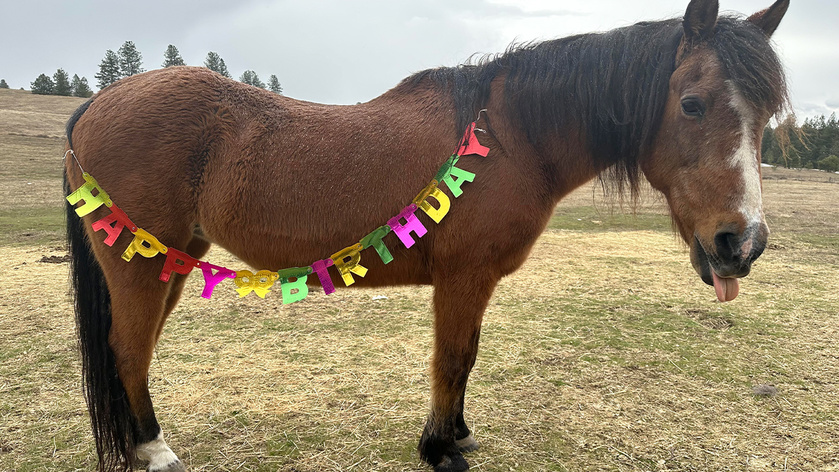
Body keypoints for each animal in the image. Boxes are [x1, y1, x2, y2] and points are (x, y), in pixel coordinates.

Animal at [63, 0, 790, 470]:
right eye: (691, 103)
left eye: (765, 117)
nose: (741, 243)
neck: (510, 136)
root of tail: (99, 102)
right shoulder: (463, 277)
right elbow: (452, 359)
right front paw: (440, 448)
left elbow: (464, 360)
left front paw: (457, 435)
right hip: (137, 267)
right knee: (129, 349)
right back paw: (155, 449)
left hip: (172, 261)